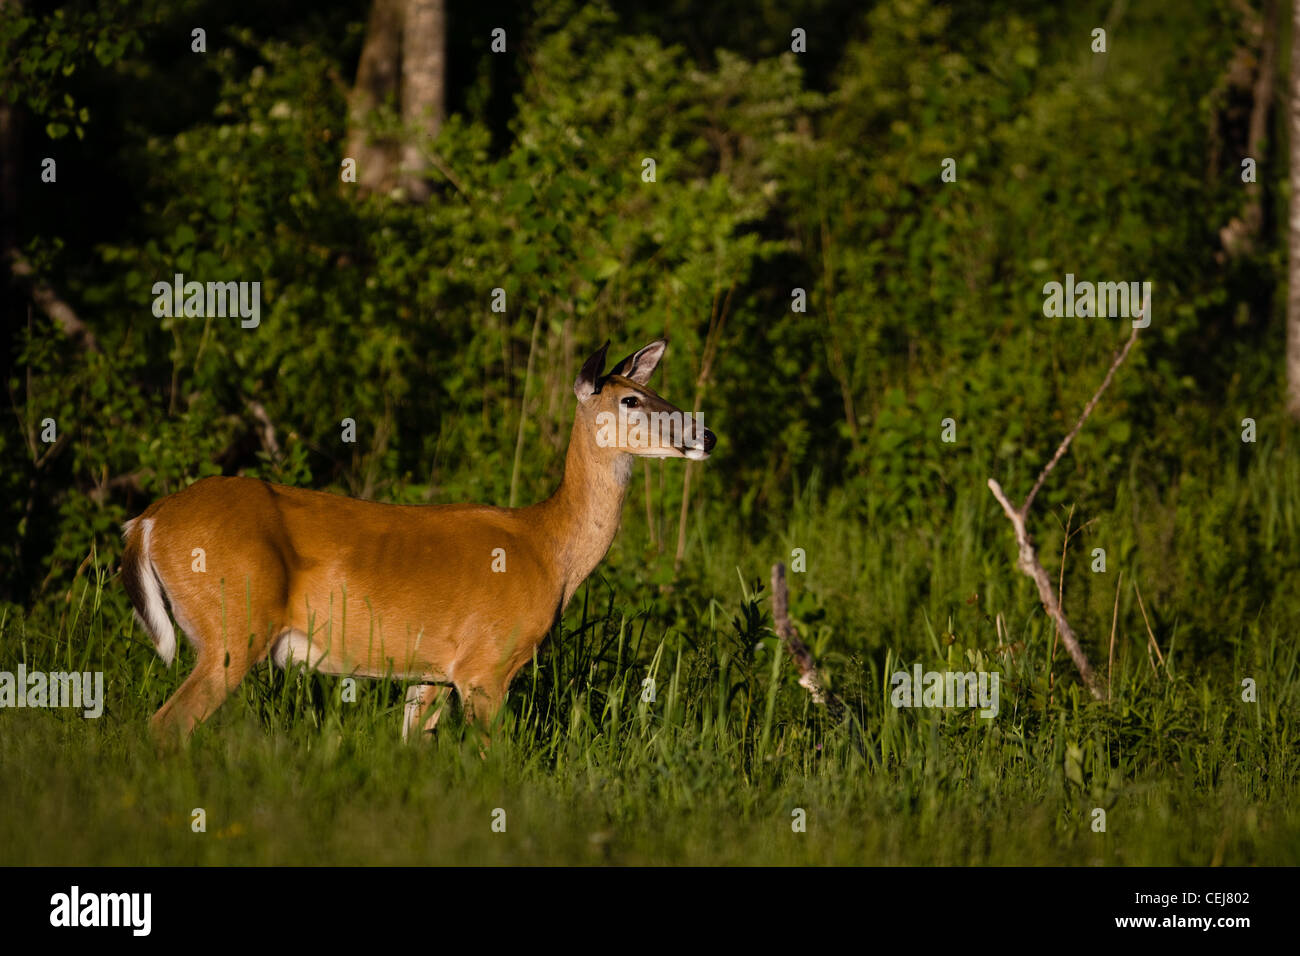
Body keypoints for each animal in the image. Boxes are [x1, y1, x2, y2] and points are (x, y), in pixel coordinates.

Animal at [121, 338, 715, 743]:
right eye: (632, 400)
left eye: (657, 390)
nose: (706, 434)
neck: (549, 550)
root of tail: (147, 522)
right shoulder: (486, 666)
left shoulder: (433, 674)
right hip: (232, 626)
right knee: (164, 725)